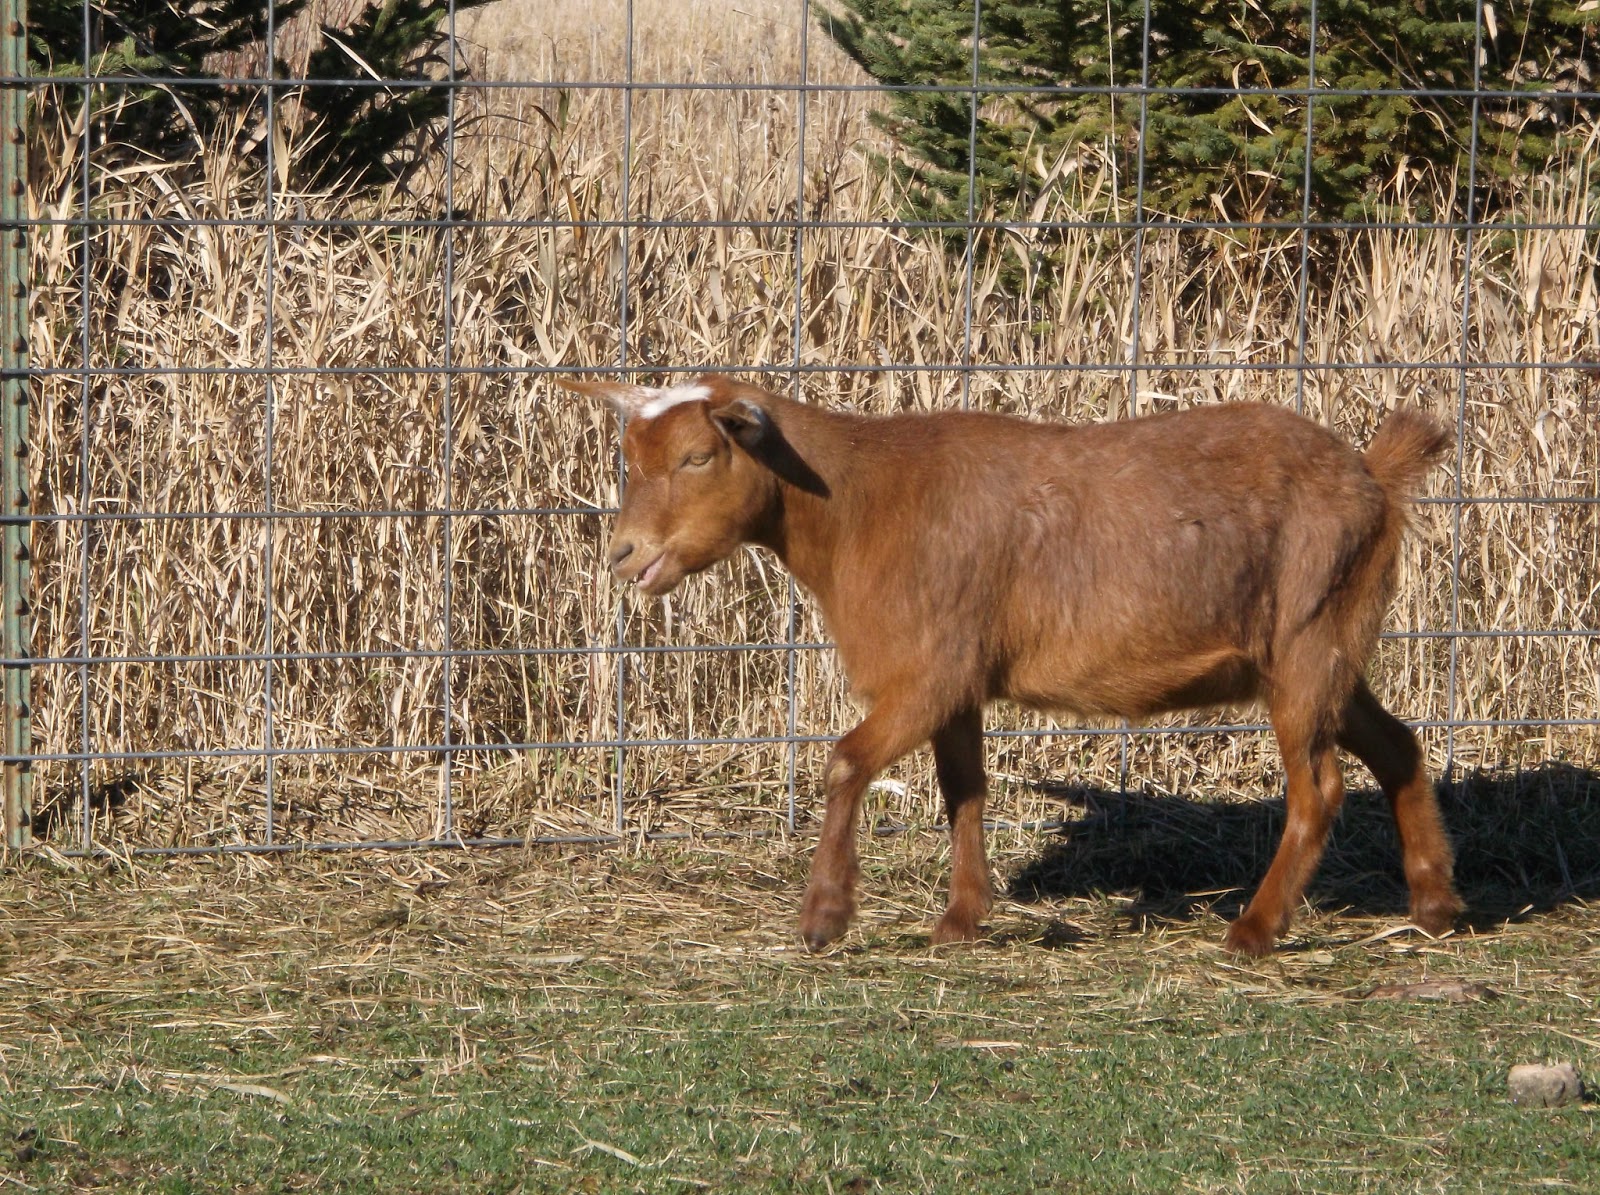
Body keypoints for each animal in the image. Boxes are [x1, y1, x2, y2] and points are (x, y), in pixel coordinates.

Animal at [561, 374, 1462, 955]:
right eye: (631, 458)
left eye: (697, 457)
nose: (624, 555)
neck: (856, 505)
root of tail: (1372, 474)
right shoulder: (957, 678)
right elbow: (963, 788)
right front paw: (961, 919)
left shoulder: (927, 670)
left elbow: (846, 760)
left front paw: (825, 916)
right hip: (1328, 646)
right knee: (1399, 746)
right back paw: (1435, 903)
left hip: (1309, 639)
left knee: (1321, 787)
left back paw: (1255, 929)